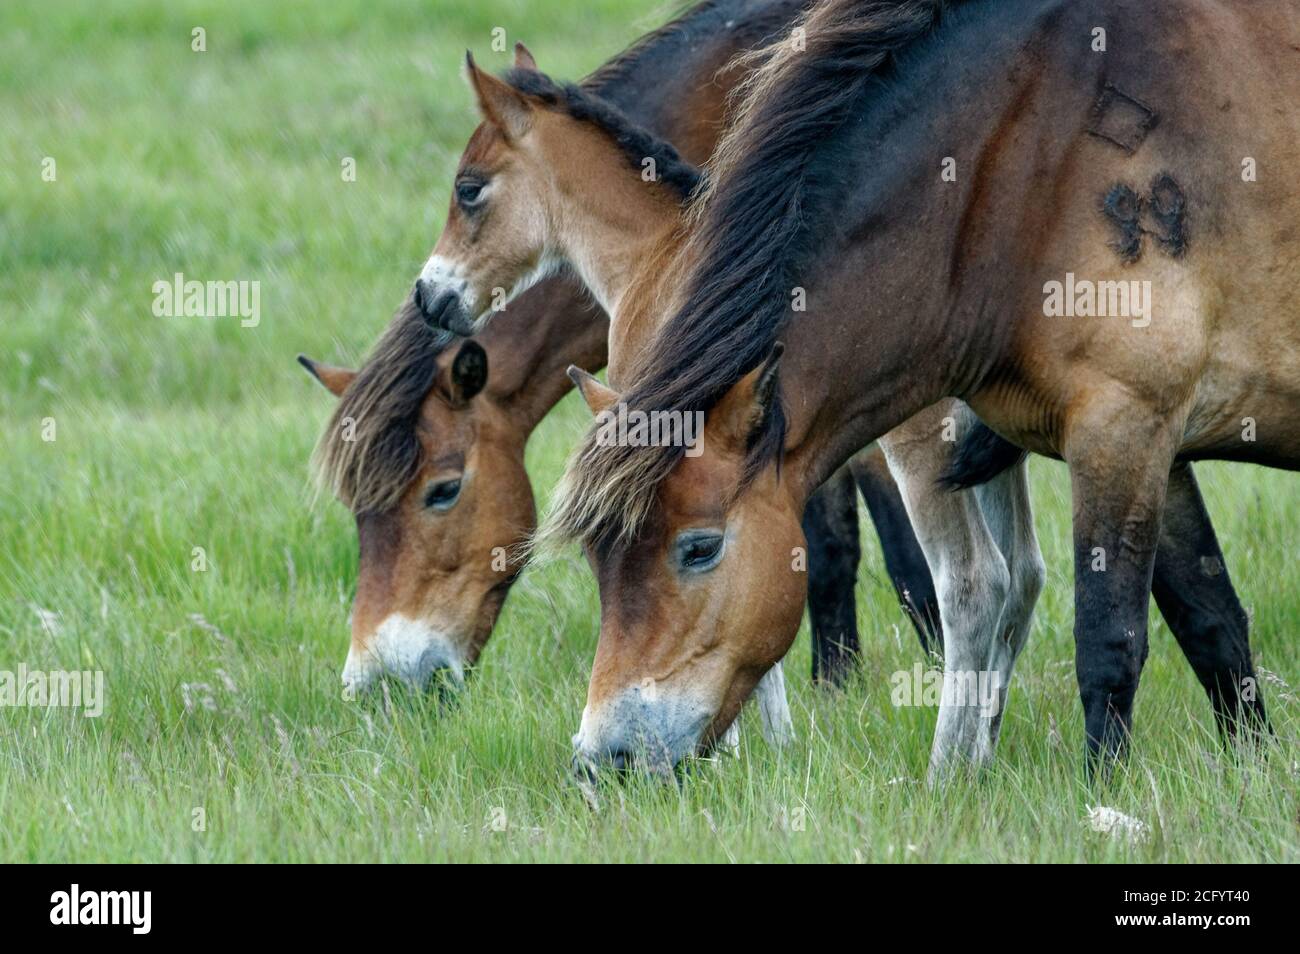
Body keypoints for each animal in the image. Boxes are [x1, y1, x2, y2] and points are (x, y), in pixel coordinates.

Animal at [537, 0, 1289, 775]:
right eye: (596, 557)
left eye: (699, 548)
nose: (605, 758)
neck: (1033, 156)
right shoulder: (1151, 440)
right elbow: (1208, 615)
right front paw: (1254, 765)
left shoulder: (1124, 426)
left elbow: (1108, 643)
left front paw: (1100, 787)